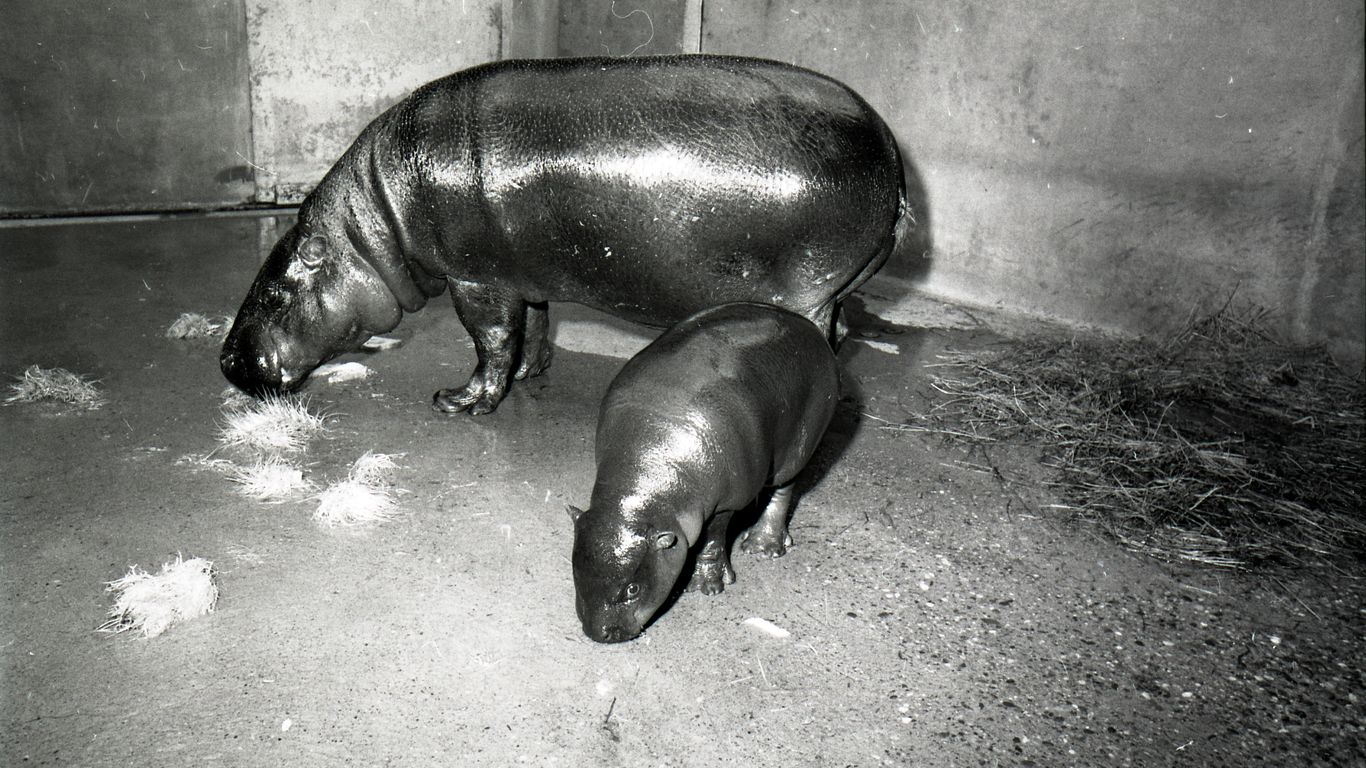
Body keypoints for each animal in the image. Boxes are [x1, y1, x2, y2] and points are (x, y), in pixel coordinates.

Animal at [221, 54, 908, 414]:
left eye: (276, 293)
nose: (225, 361)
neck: (373, 225)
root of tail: (892, 154)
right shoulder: (521, 272)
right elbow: (534, 325)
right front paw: (530, 375)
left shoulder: (476, 278)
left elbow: (492, 340)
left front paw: (460, 402)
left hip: (810, 288)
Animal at [569, 302, 839, 643]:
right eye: (575, 572)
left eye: (632, 589)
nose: (597, 632)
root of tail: (808, 325)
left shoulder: (724, 503)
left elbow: (711, 541)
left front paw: (706, 587)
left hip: (798, 447)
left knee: (783, 490)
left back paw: (761, 547)